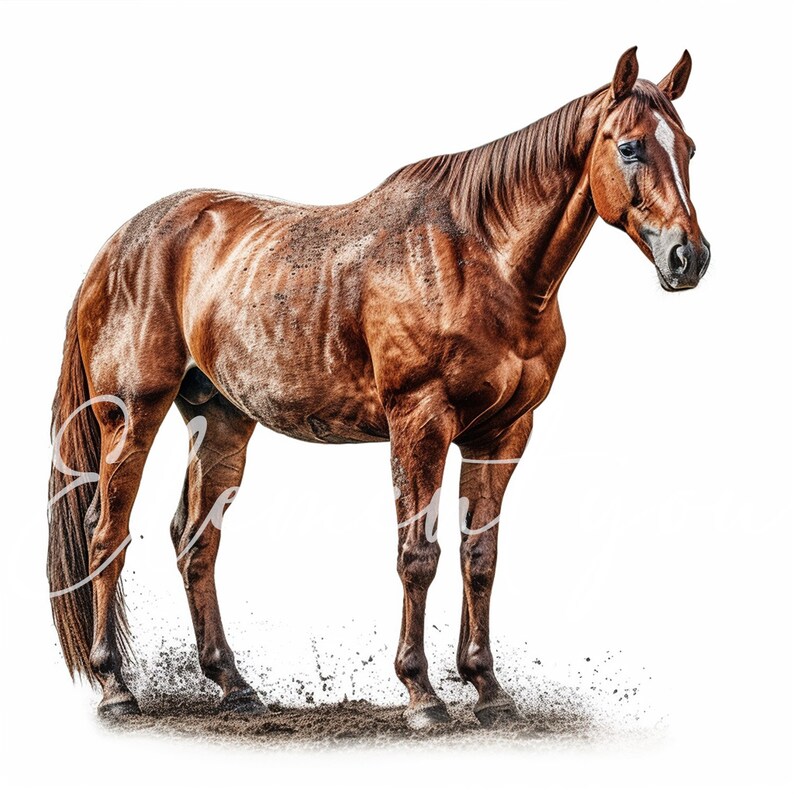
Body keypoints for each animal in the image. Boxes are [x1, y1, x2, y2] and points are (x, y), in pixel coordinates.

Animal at [48, 47, 710, 729]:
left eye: (688, 147)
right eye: (629, 147)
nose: (689, 257)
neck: (482, 259)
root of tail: (114, 250)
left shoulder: (502, 435)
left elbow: (481, 558)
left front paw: (489, 689)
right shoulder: (420, 422)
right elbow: (418, 555)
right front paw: (422, 694)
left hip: (223, 420)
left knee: (195, 540)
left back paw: (234, 685)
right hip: (132, 416)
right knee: (106, 533)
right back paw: (115, 687)